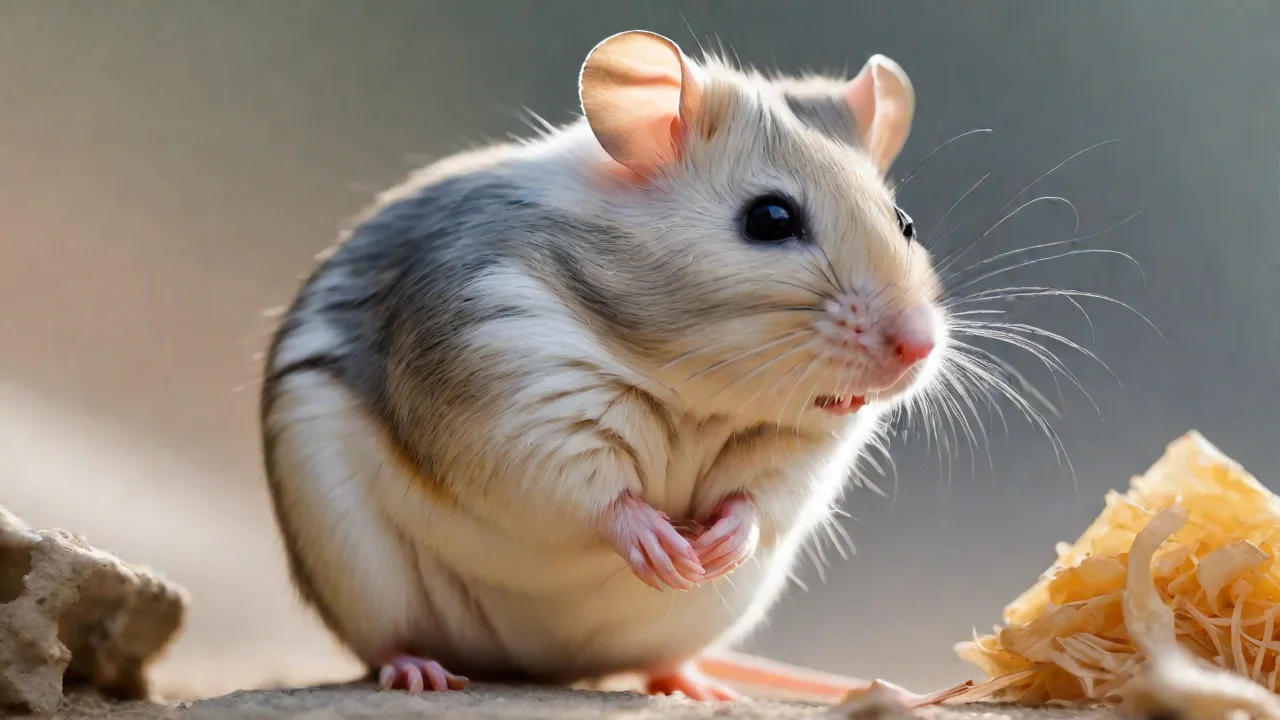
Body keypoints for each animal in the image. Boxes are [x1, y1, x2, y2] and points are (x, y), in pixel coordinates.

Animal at [259, 30, 948, 702]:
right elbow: (592, 494)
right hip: (360, 573)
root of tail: (549, 667)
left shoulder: (798, 451)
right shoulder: (512, 383)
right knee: (387, 645)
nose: (918, 346)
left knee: (661, 662)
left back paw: (695, 685)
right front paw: (656, 541)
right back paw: (417, 672)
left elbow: (760, 499)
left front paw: (722, 544)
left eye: (905, 222)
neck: (692, 389)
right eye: (770, 218)